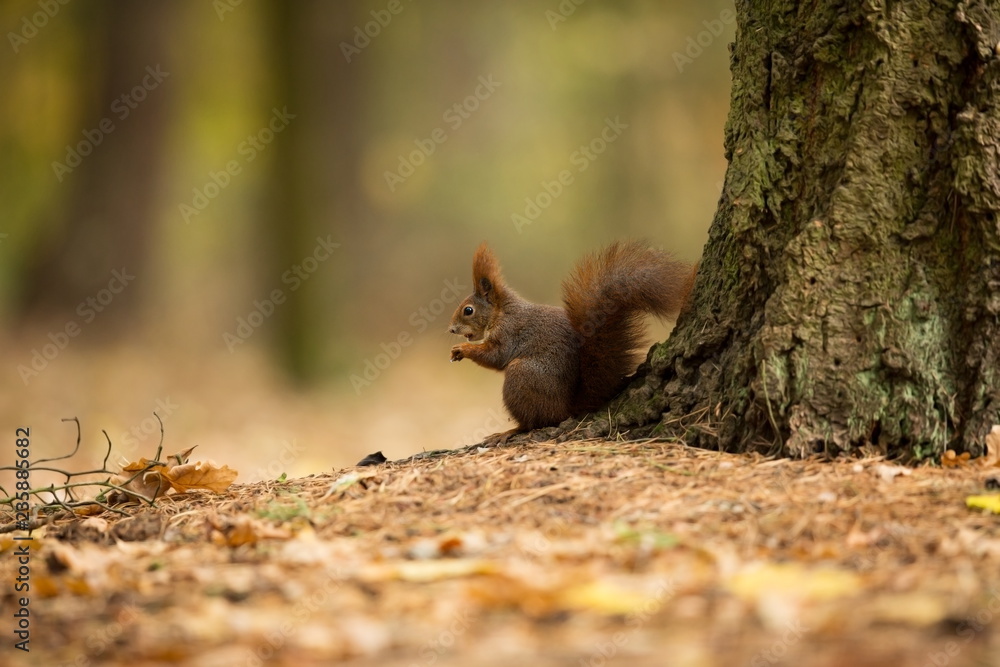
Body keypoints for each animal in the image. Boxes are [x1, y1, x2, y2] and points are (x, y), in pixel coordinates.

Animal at [448, 241, 696, 435]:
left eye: (468, 310)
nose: (451, 329)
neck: (501, 312)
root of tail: (568, 407)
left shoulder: (509, 332)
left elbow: (496, 356)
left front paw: (462, 349)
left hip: (523, 375)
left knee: (537, 422)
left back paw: (511, 431)